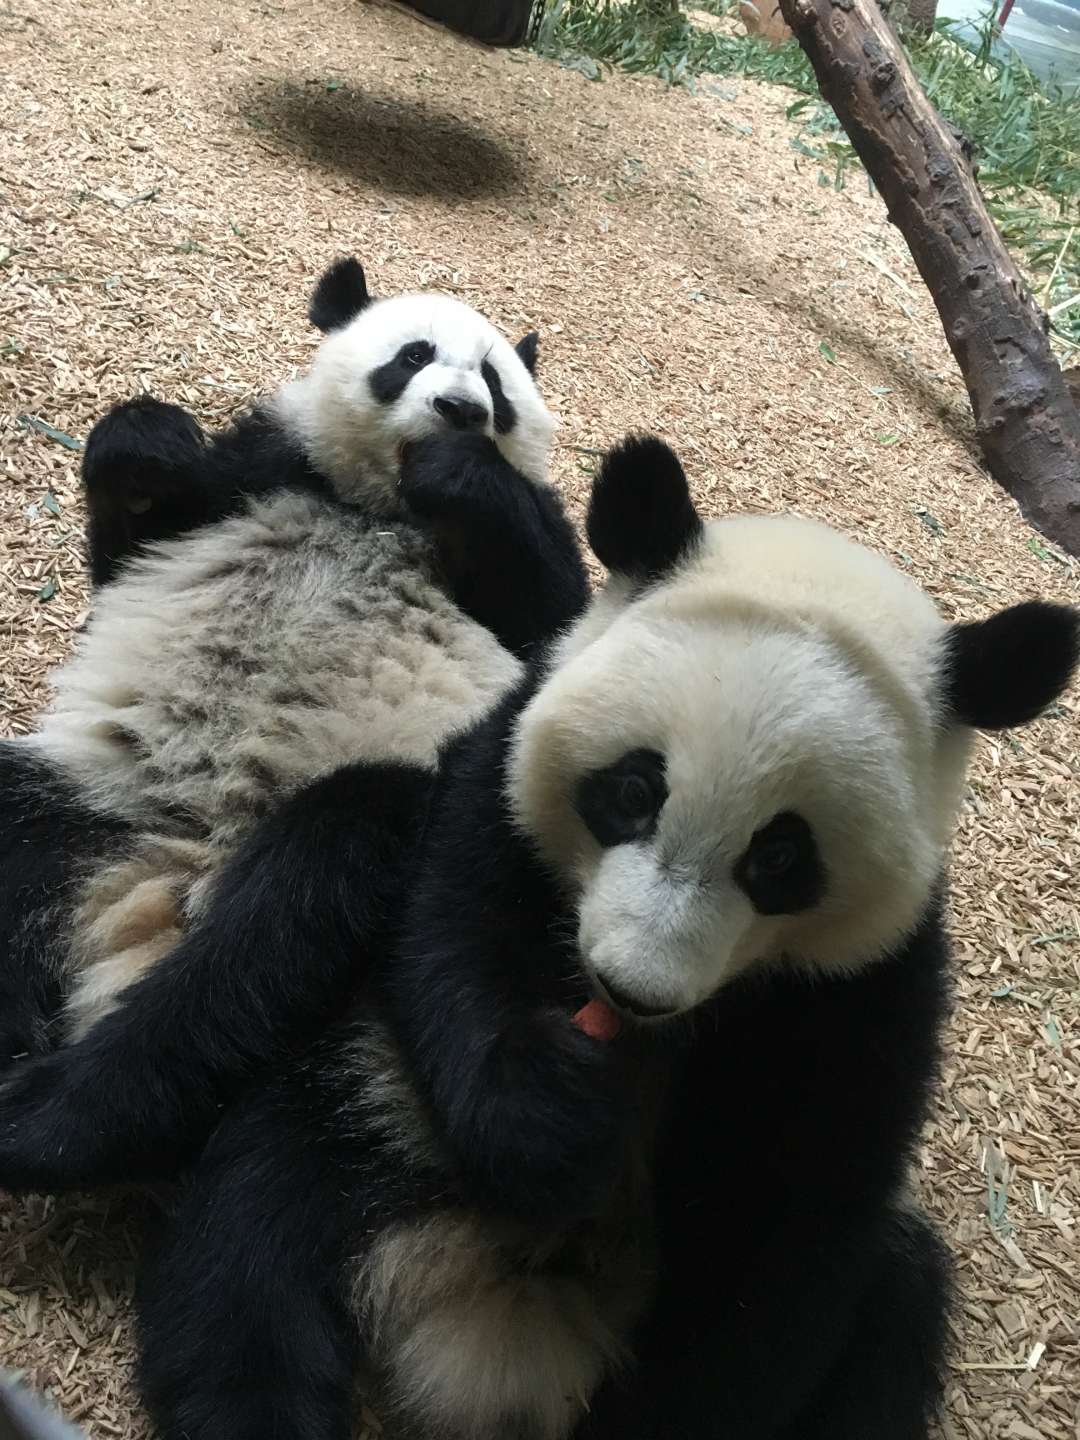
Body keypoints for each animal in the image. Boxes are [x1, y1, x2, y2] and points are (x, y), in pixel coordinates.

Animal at [0, 256, 587, 1192]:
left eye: (496, 385)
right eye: (413, 356)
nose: (459, 410)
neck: (386, 507)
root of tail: (162, 880)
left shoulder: (530, 564)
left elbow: (549, 618)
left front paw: (464, 470)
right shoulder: (265, 469)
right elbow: (136, 546)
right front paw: (147, 449)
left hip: (350, 810)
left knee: (289, 909)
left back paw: (57, 1116)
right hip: (94, 793)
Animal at [130, 436, 1079, 1440]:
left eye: (781, 860)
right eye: (634, 790)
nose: (630, 987)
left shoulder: (868, 978)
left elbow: (785, 1228)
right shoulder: (503, 774)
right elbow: (452, 935)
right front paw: (551, 1119)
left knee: (894, 1308)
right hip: (373, 1112)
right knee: (250, 1241)